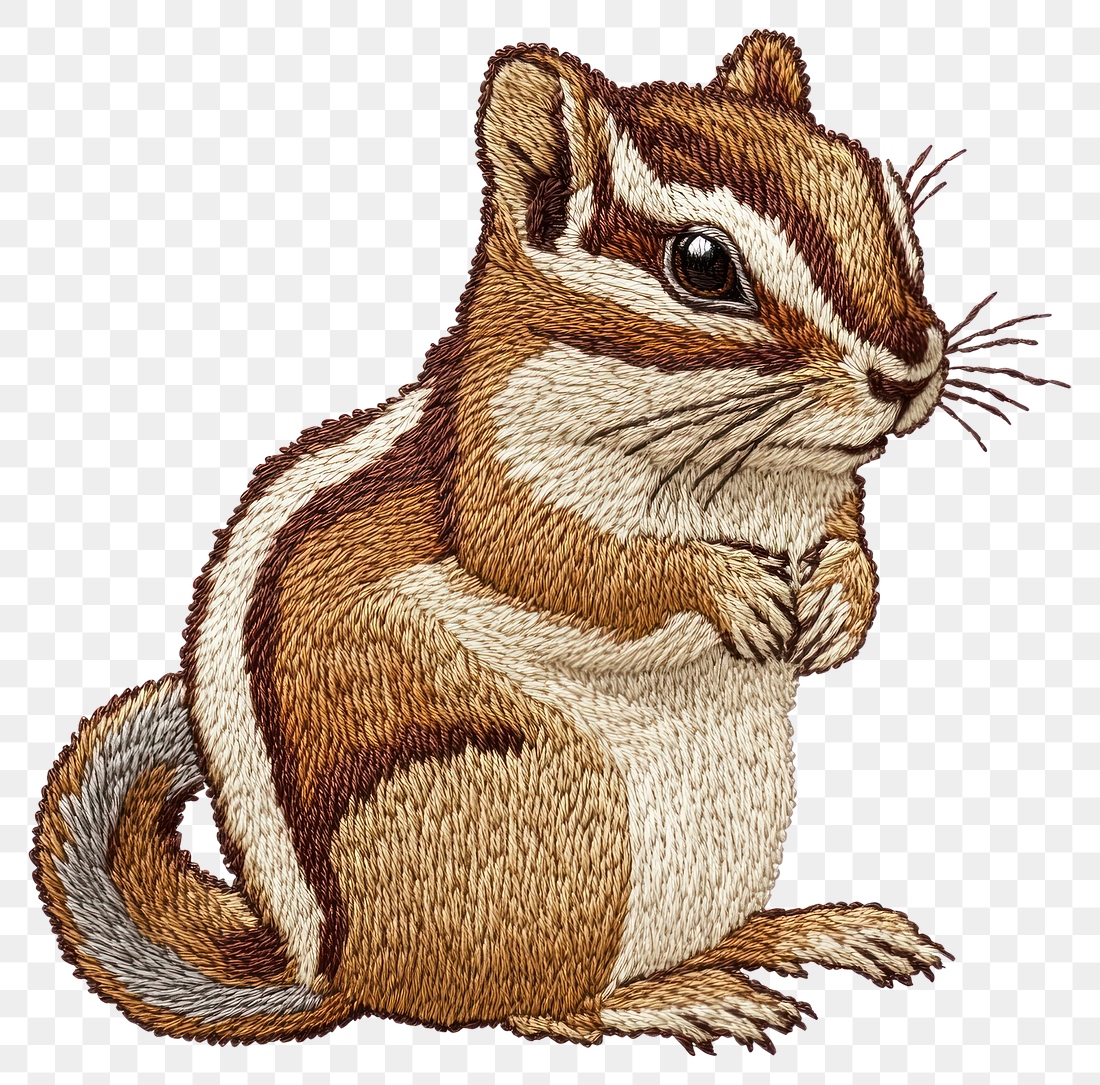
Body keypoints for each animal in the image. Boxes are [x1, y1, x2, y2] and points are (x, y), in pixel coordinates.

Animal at [33, 30, 1064, 1054]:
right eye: (702, 263)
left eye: (893, 212)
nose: (912, 367)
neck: (753, 470)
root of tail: (333, 968)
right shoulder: (497, 479)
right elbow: (559, 560)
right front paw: (725, 584)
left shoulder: (829, 498)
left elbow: (849, 539)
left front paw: (844, 599)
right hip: (544, 820)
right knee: (537, 1004)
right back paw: (672, 996)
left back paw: (805, 930)